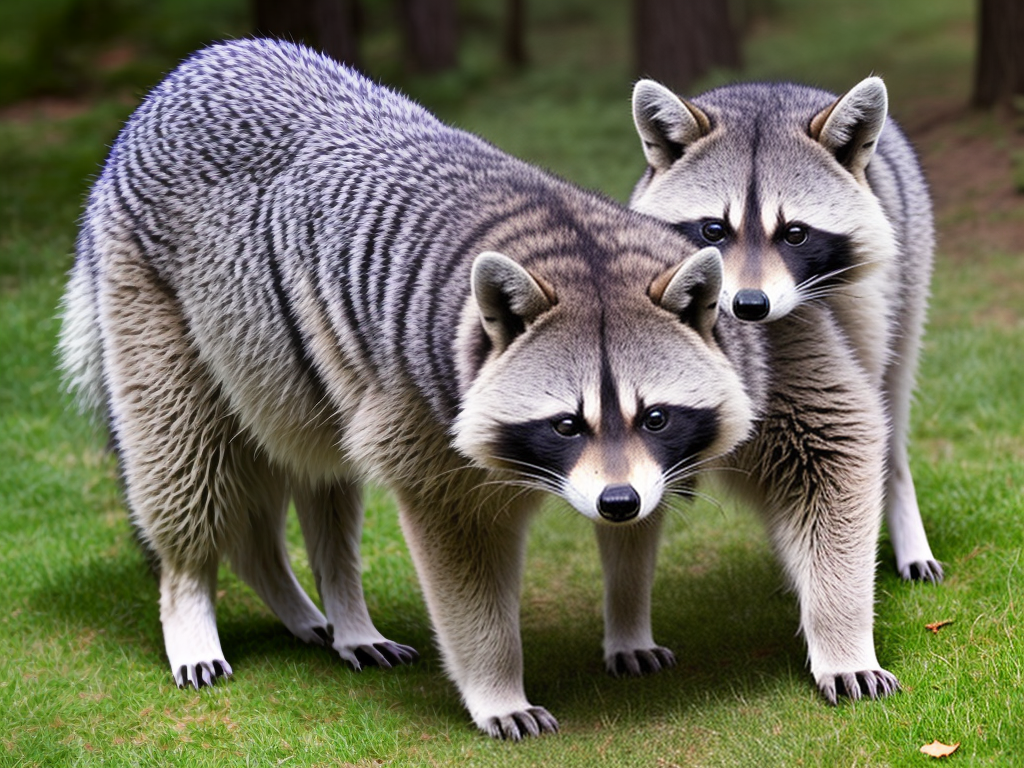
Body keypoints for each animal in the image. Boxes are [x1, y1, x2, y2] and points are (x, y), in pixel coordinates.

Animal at [57, 39, 754, 739]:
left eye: (656, 416)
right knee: (179, 457)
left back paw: (337, 612)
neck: (577, 249)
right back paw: (190, 596)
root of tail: (196, 64)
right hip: (151, 299)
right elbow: (464, 567)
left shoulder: (653, 458)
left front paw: (629, 619)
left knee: (317, 475)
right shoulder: (422, 420)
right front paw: (496, 684)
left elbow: (642, 519)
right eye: (565, 424)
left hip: (297, 377)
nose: (616, 502)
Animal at [627, 76, 940, 584]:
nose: (750, 305)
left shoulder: (858, 303)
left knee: (892, 393)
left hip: (909, 272)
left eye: (795, 234)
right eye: (713, 230)